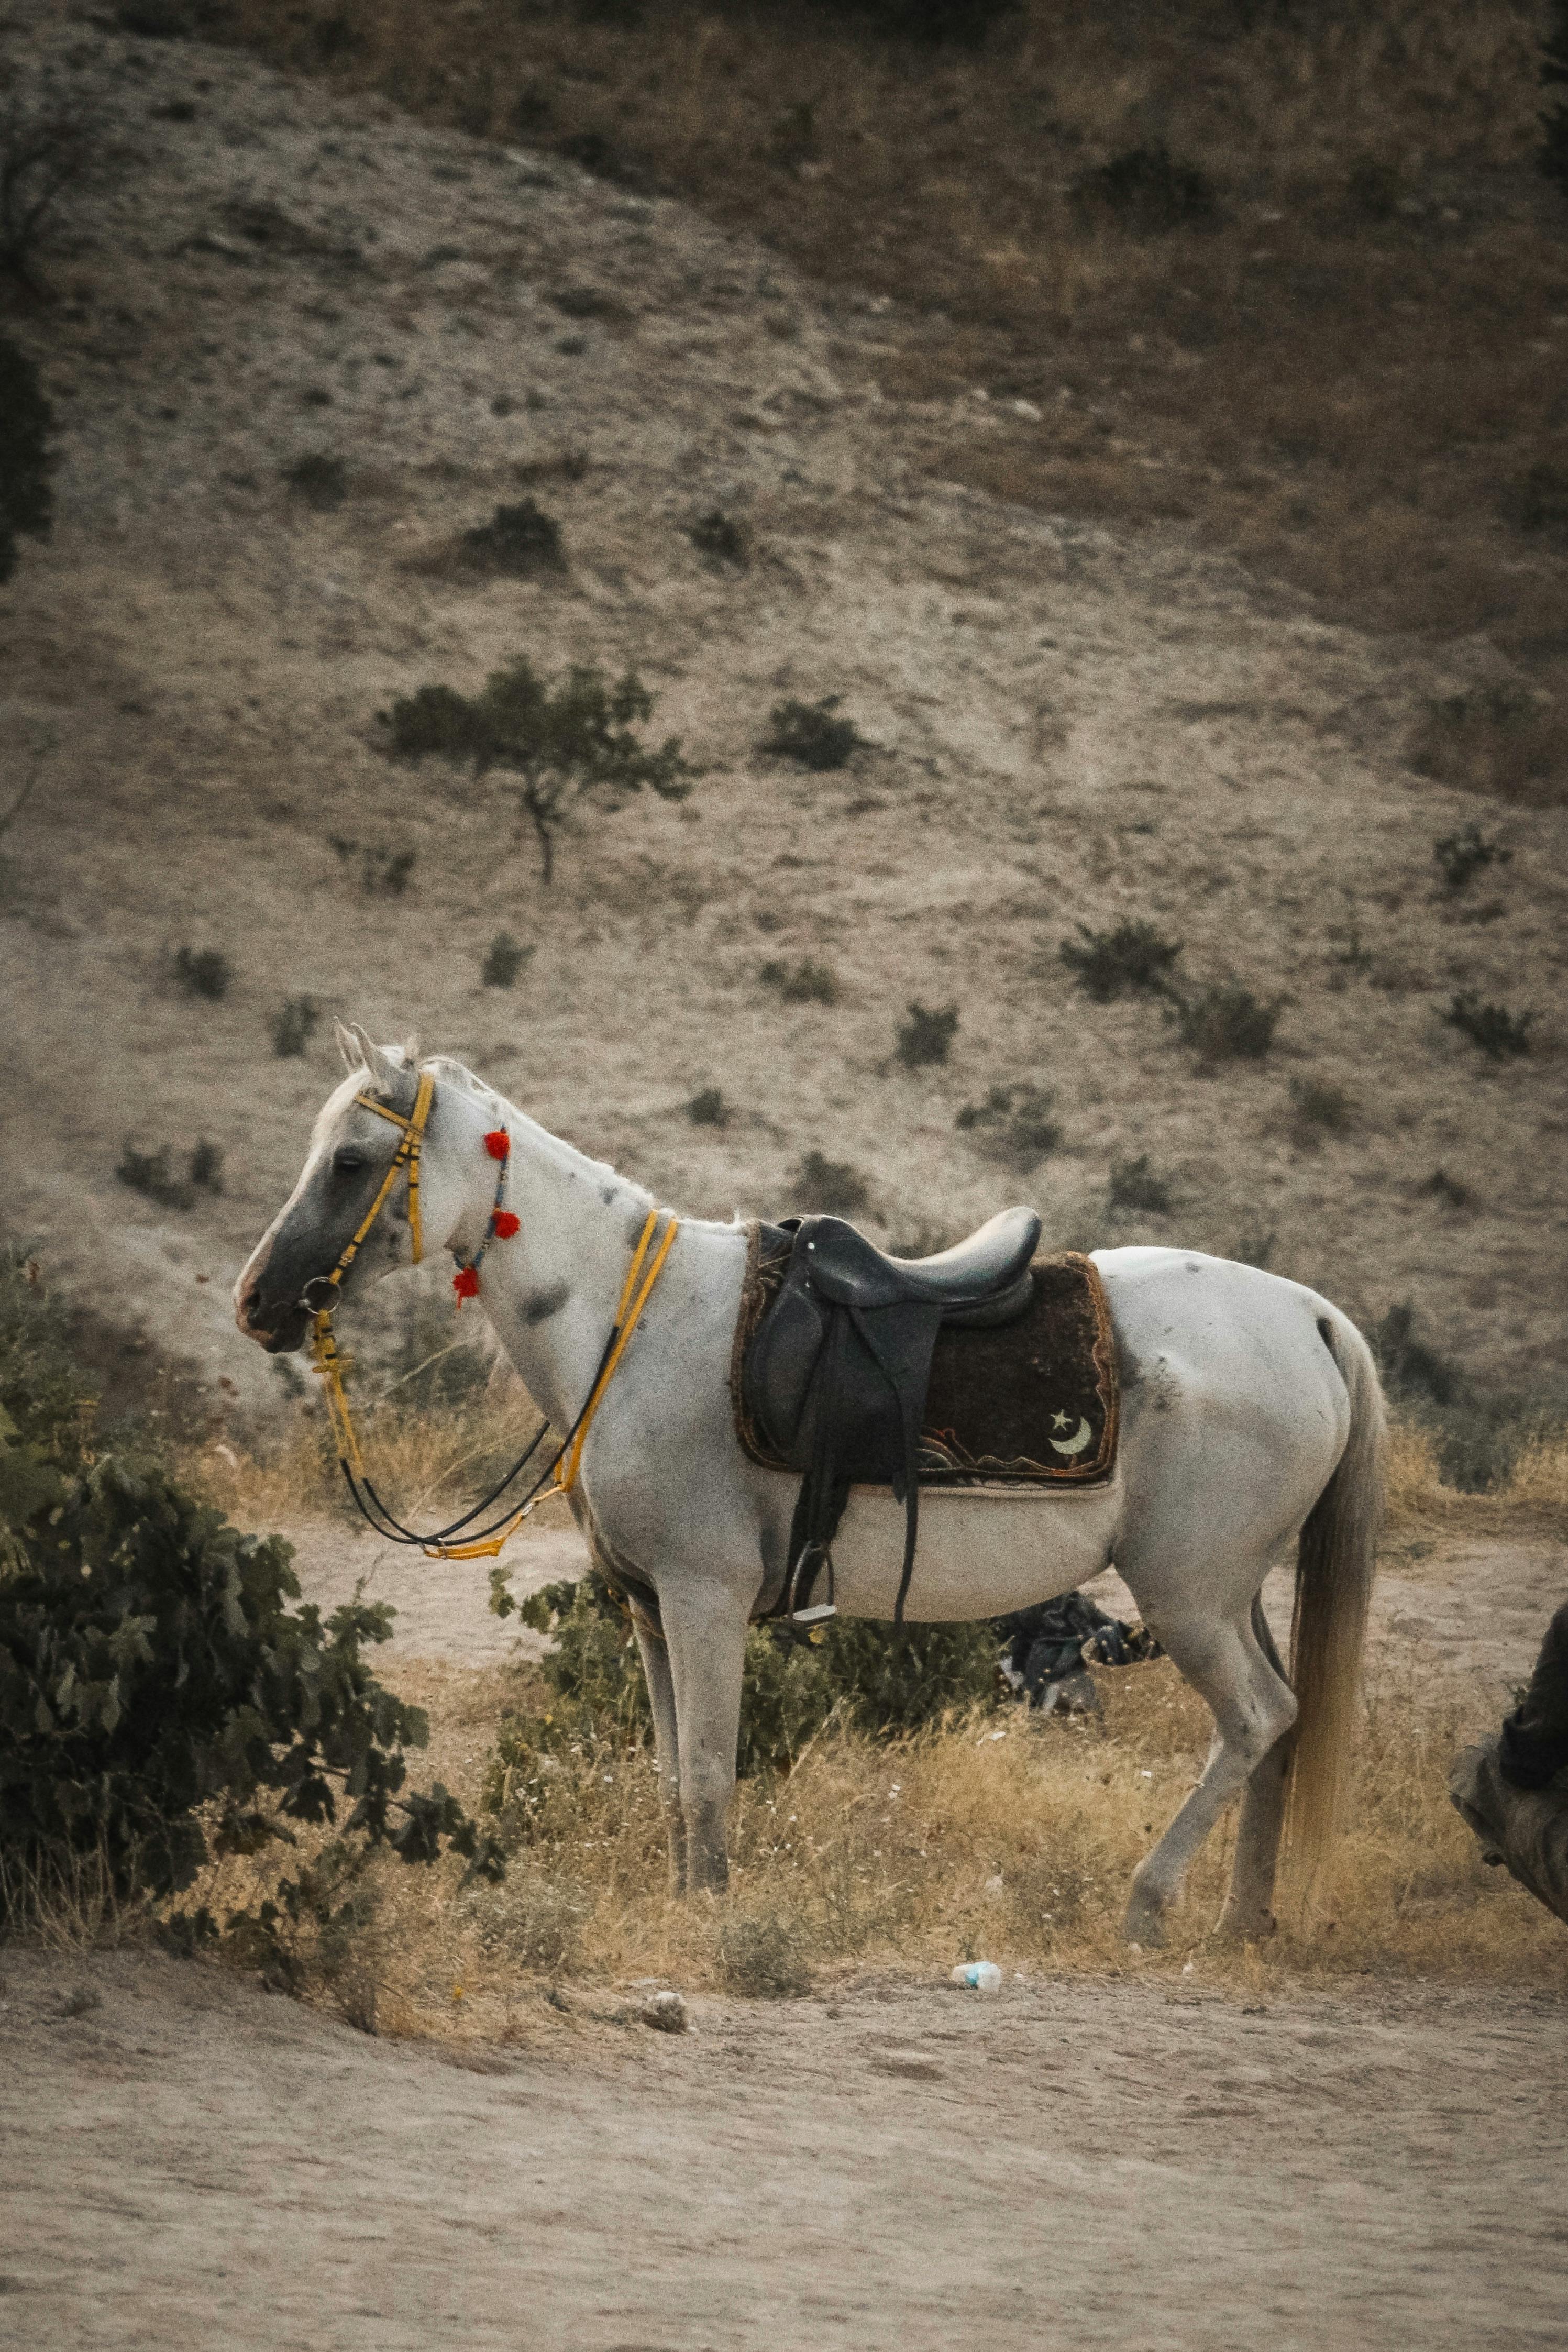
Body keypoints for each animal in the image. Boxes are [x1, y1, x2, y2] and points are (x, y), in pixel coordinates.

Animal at [235, 1025, 1385, 1946]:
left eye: (350, 1160)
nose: (257, 1305)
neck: (630, 1324)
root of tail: (1312, 1316)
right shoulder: (648, 1609)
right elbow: (670, 1777)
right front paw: (684, 1904)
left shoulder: (703, 1598)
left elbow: (708, 1773)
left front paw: (711, 1918)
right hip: (1230, 1594)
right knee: (1281, 1724)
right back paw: (1240, 1918)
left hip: (1186, 1597)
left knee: (1255, 1718)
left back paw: (1148, 1905)